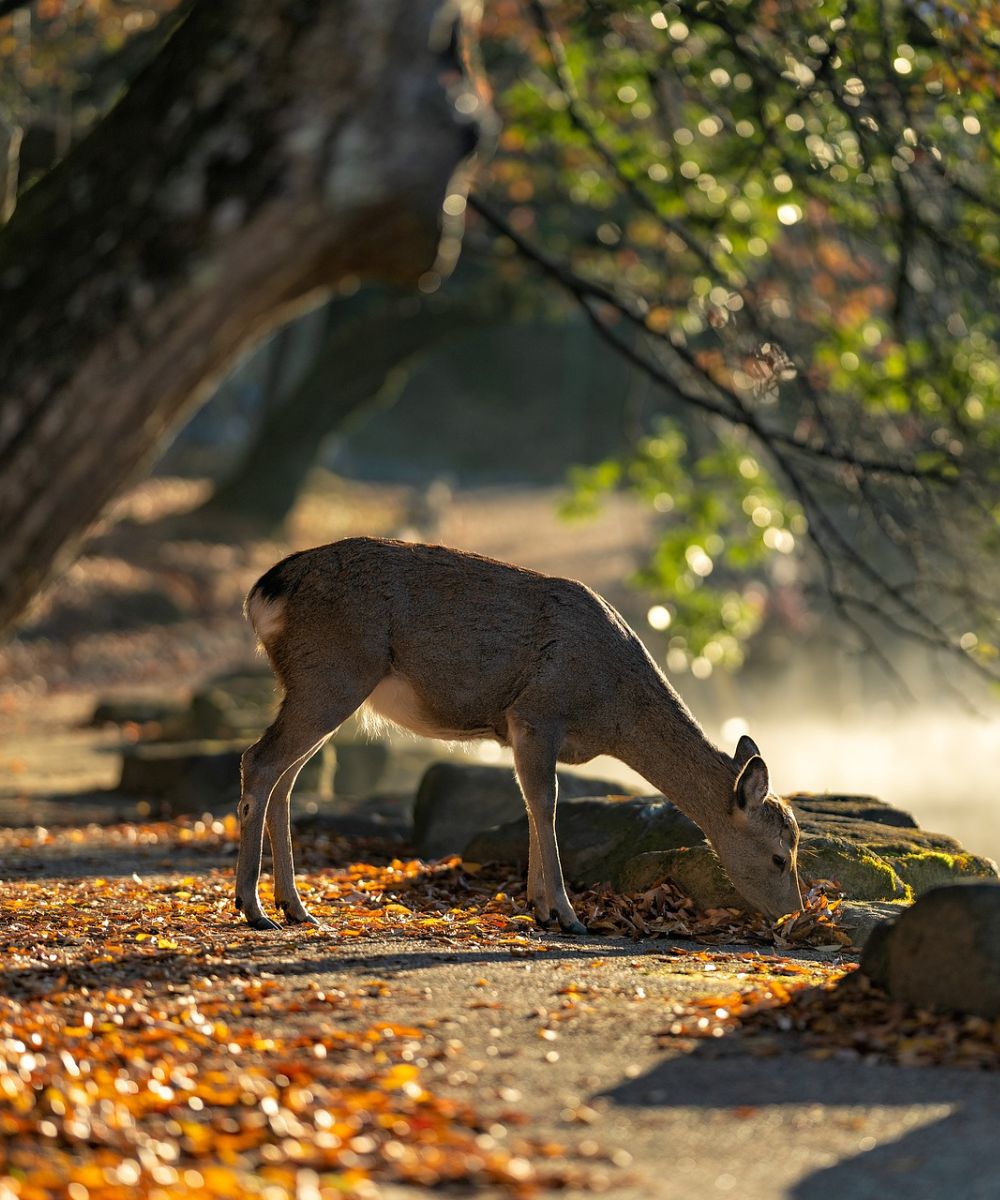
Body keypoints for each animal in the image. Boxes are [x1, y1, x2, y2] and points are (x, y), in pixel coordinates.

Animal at [235, 536, 804, 931]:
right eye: (780, 857)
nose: (794, 913)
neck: (609, 709)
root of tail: (264, 592)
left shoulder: (516, 729)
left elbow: (530, 803)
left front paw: (539, 908)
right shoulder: (537, 712)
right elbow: (546, 803)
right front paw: (568, 916)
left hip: (318, 685)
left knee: (285, 777)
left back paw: (295, 908)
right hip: (332, 674)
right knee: (258, 761)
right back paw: (254, 908)